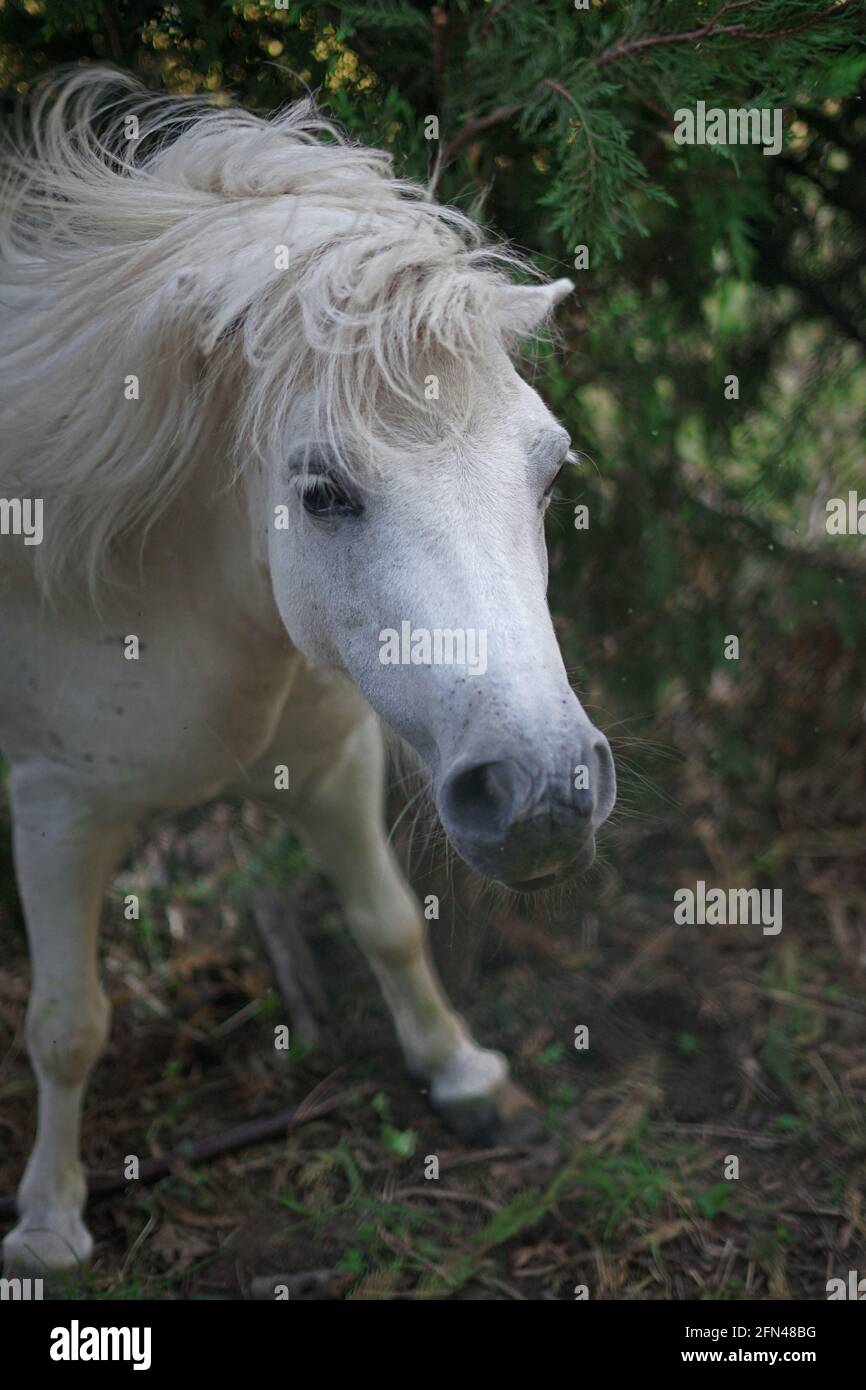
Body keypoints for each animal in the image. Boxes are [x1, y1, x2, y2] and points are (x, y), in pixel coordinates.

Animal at [0, 70, 616, 1277]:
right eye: (323, 491)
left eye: (550, 467)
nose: (542, 795)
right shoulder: (55, 809)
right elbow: (67, 1024)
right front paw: (48, 1225)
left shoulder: (333, 760)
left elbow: (389, 923)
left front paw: (462, 1075)